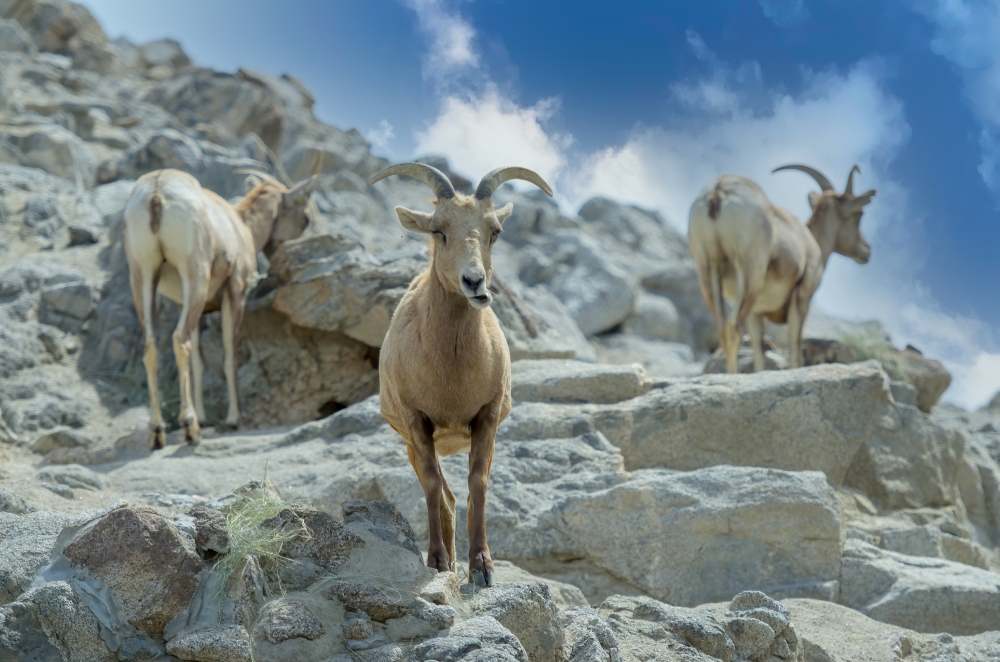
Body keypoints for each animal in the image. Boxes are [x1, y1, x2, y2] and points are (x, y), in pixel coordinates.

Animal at [123, 155, 321, 448]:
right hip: (194, 278)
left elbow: (199, 362)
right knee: (179, 340)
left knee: (151, 347)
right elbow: (230, 356)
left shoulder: (187, 304)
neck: (241, 225)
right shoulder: (234, 293)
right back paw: (190, 428)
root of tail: (157, 193)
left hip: (144, 280)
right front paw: (233, 420)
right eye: (305, 218)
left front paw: (206, 419)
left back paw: (158, 433)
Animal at [369, 162, 552, 586]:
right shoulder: (417, 422)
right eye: (438, 230)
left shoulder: (487, 417)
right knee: (444, 496)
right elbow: (433, 487)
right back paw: (448, 562)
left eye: (495, 232)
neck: (450, 373)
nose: (474, 282)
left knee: (456, 497)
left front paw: (482, 568)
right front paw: (437, 562)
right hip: (413, 445)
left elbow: (477, 483)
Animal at [688, 164, 875, 373]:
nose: (866, 251)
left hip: (708, 271)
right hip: (750, 273)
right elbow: (795, 351)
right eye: (859, 214)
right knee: (733, 329)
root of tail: (719, 191)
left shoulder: (756, 312)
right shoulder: (801, 297)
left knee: (723, 330)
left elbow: (759, 356)